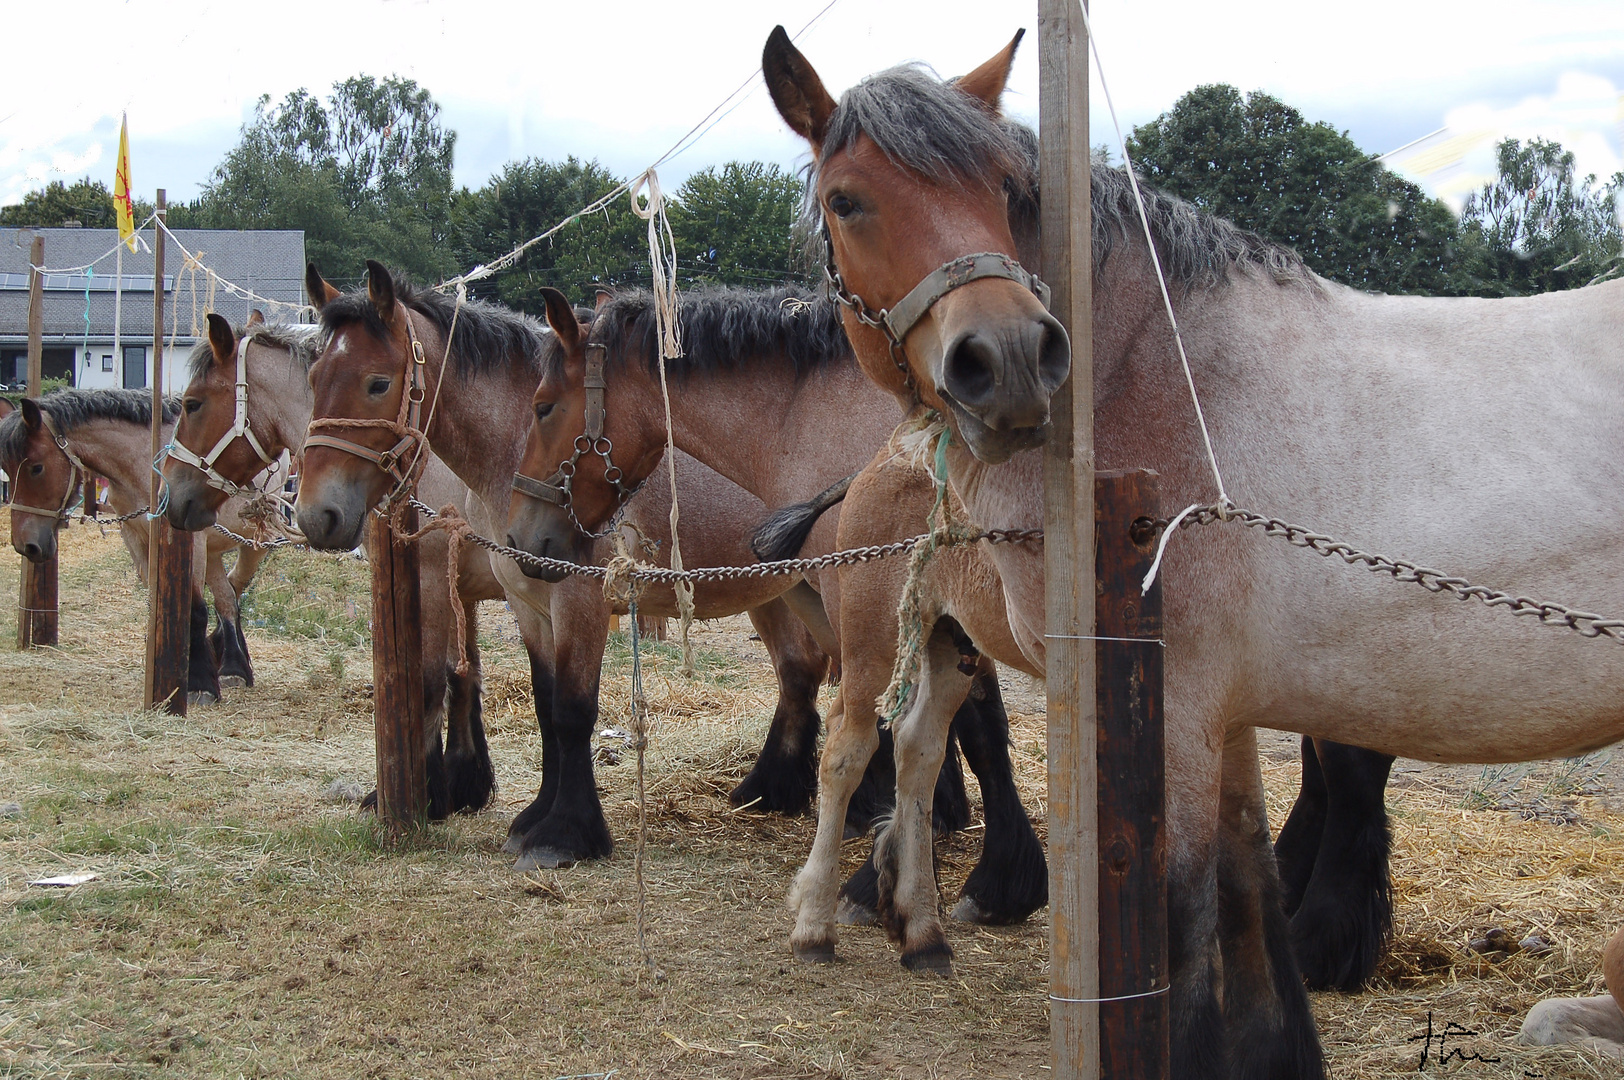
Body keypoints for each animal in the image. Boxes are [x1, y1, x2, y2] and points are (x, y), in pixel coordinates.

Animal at [0, 388, 276, 698]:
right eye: (6, 468)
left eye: (36, 468)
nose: (26, 545)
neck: (144, 462)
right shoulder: (135, 536)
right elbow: (158, 602)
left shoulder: (190, 539)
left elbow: (194, 610)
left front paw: (198, 683)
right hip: (214, 551)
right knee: (227, 596)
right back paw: (231, 665)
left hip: (254, 543)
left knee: (233, 590)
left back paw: (232, 666)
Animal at [161, 313, 500, 818]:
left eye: (192, 403)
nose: (170, 491)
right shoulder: (461, 586)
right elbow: (464, 674)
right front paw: (465, 785)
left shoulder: (432, 578)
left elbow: (431, 681)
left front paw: (424, 795)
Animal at [295, 264, 876, 870]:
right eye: (312, 376)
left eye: (376, 383)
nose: (316, 514)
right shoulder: (528, 605)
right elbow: (545, 709)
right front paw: (533, 817)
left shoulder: (578, 601)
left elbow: (571, 710)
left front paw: (564, 834)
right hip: (789, 590)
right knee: (806, 674)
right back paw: (775, 790)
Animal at [766, 25, 1624, 1078]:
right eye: (847, 199)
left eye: (1008, 187)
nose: (1007, 361)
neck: (1153, 371)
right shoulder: (1222, 713)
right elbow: (1249, 897)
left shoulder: (1168, 708)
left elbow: (1182, 926)